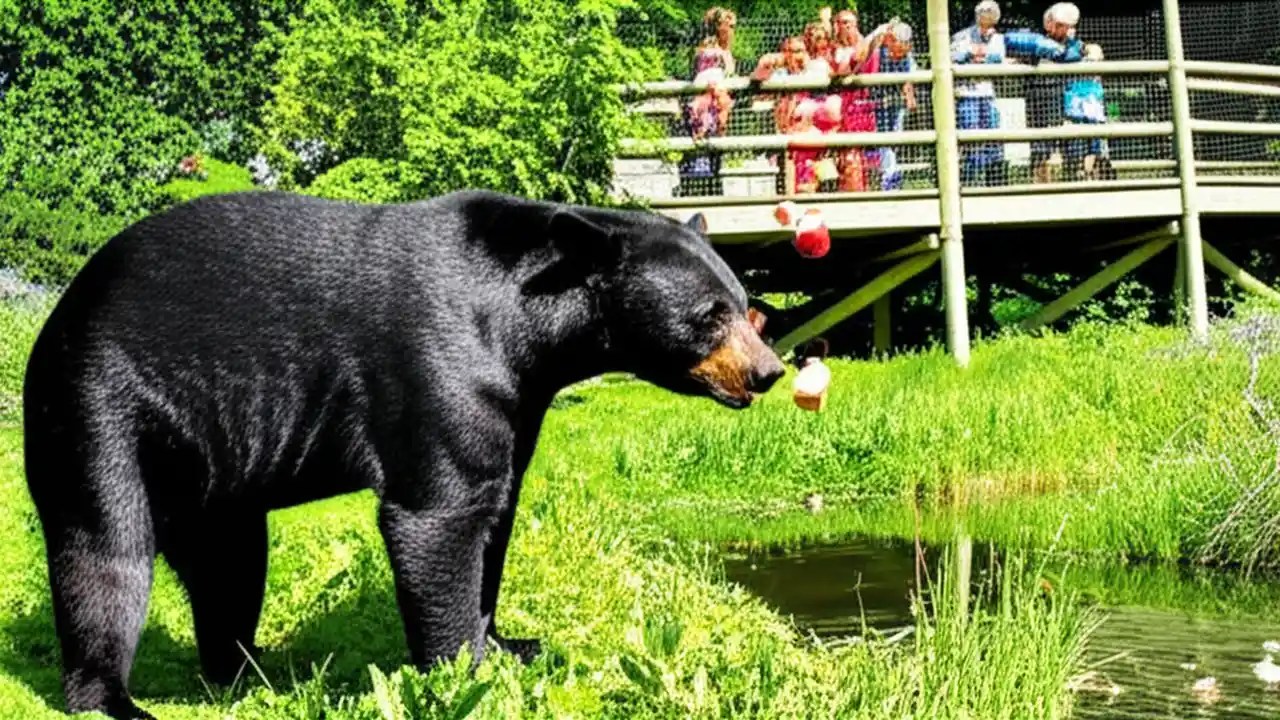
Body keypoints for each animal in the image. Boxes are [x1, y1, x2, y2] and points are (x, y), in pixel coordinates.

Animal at [21, 188, 786, 719]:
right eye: (711, 315)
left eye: (750, 308)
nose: (769, 372)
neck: (522, 325)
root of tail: (57, 312)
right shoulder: (440, 370)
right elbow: (437, 518)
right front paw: (461, 676)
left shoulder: (517, 401)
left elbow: (496, 513)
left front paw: (508, 644)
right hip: (97, 405)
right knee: (104, 555)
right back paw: (116, 698)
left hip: (217, 473)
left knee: (230, 568)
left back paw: (253, 669)